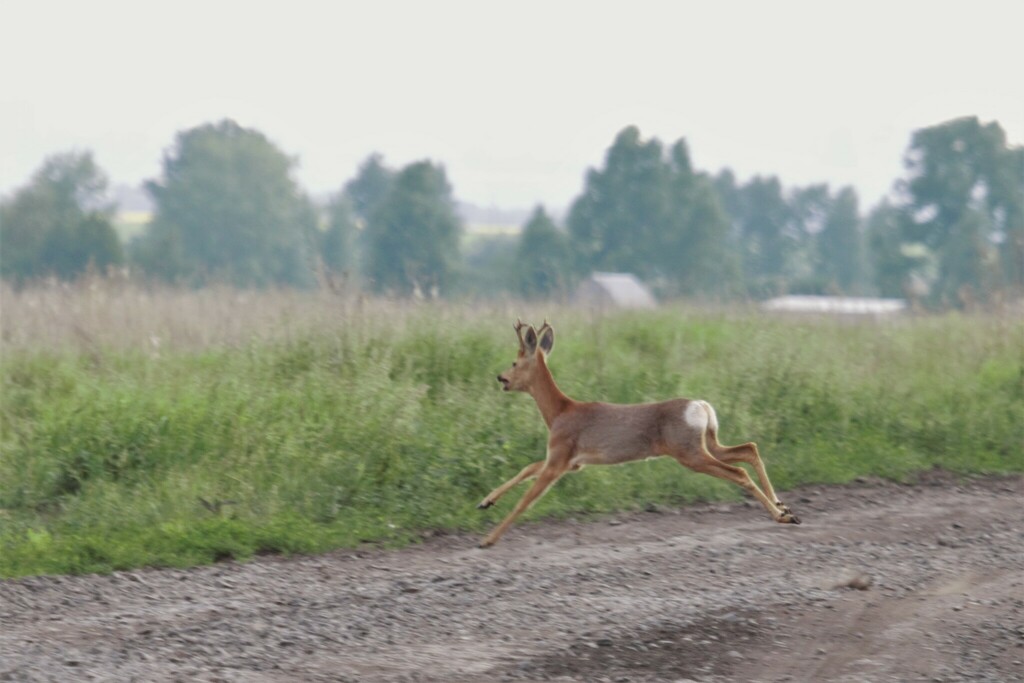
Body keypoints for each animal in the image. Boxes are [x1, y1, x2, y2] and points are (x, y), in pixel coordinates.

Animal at [477, 320, 800, 547]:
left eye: (515, 362)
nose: (501, 377)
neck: (559, 412)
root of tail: (701, 406)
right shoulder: (572, 462)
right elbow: (526, 469)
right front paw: (485, 502)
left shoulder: (559, 458)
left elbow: (526, 499)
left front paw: (488, 539)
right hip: (707, 443)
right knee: (749, 448)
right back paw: (783, 507)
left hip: (690, 452)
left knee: (739, 472)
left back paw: (783, 516)